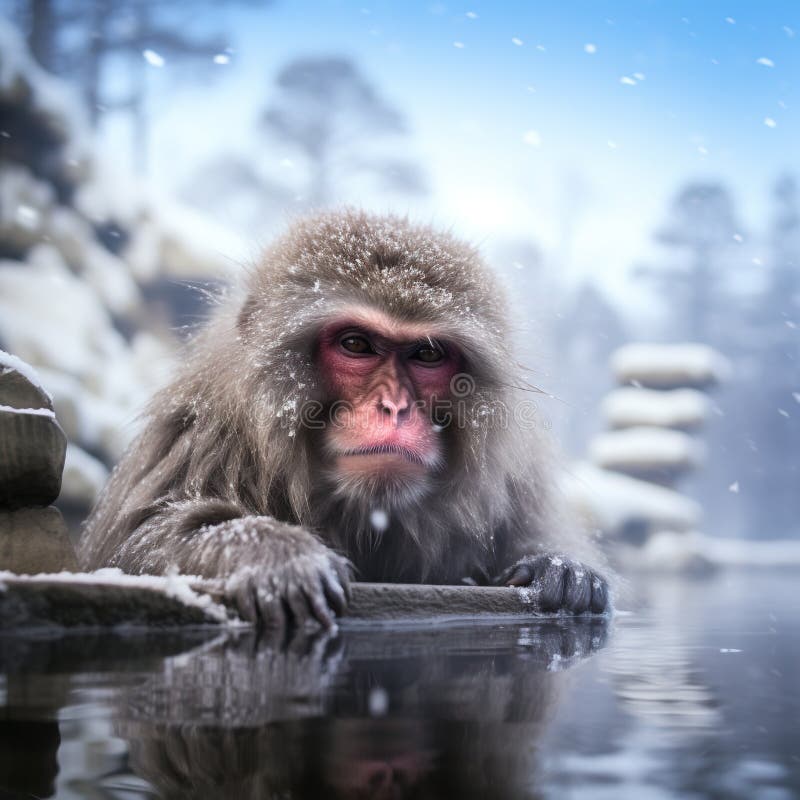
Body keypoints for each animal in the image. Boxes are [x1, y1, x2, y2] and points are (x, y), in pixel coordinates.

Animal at [79, 209, 610, 628]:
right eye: (357, 344)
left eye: (427, 354)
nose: (393, 407)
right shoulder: (200, 427)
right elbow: (133, 544)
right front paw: (273, 552)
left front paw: (560, 569)